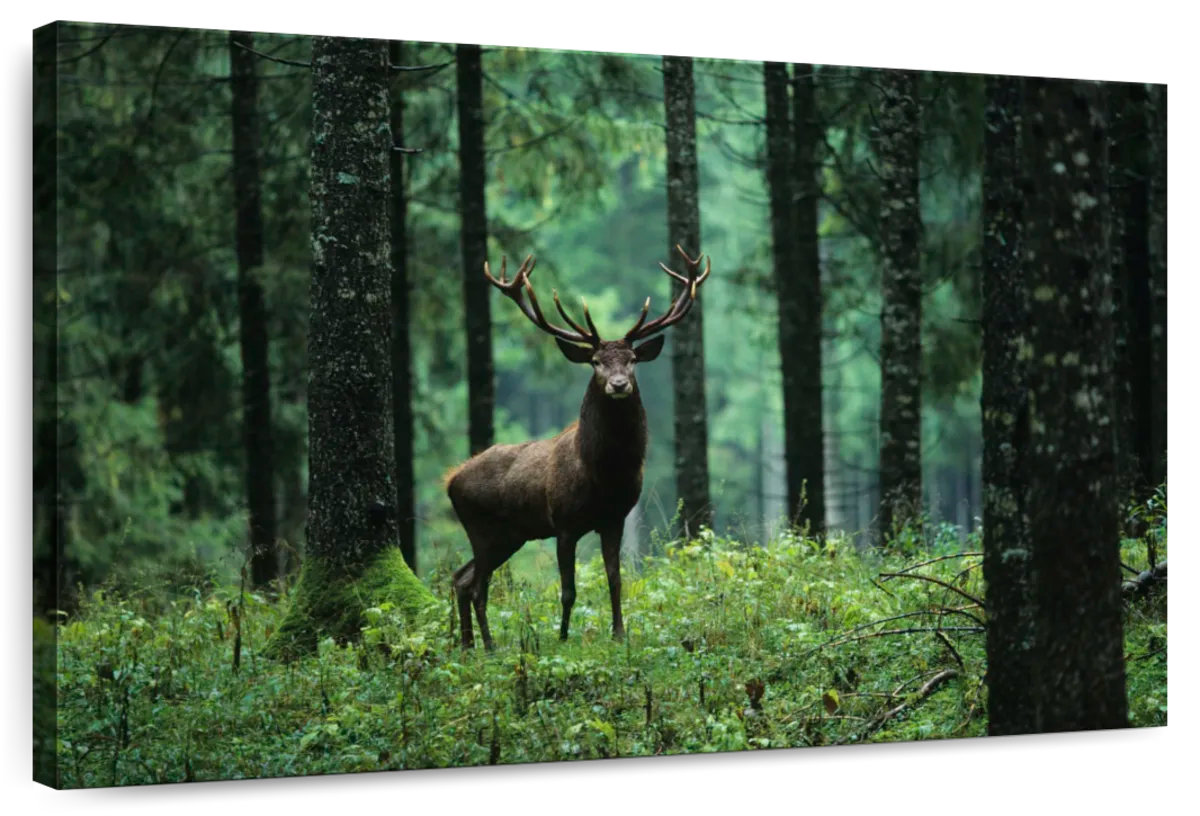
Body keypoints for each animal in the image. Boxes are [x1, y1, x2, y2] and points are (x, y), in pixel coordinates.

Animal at [446, 245, 711, 649]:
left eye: (632, 360)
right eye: (596, 361)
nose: (618, 384)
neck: (604, 474)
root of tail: (450, 480)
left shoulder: (615, 518)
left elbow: (615, 579)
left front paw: (619, 633)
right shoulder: (564, 522)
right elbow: (567, 590)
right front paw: (562, 638)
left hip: (510, 535)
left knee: (462, 579)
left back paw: (469, 646)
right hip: (482, 527)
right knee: (476, 585)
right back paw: (487, 646)